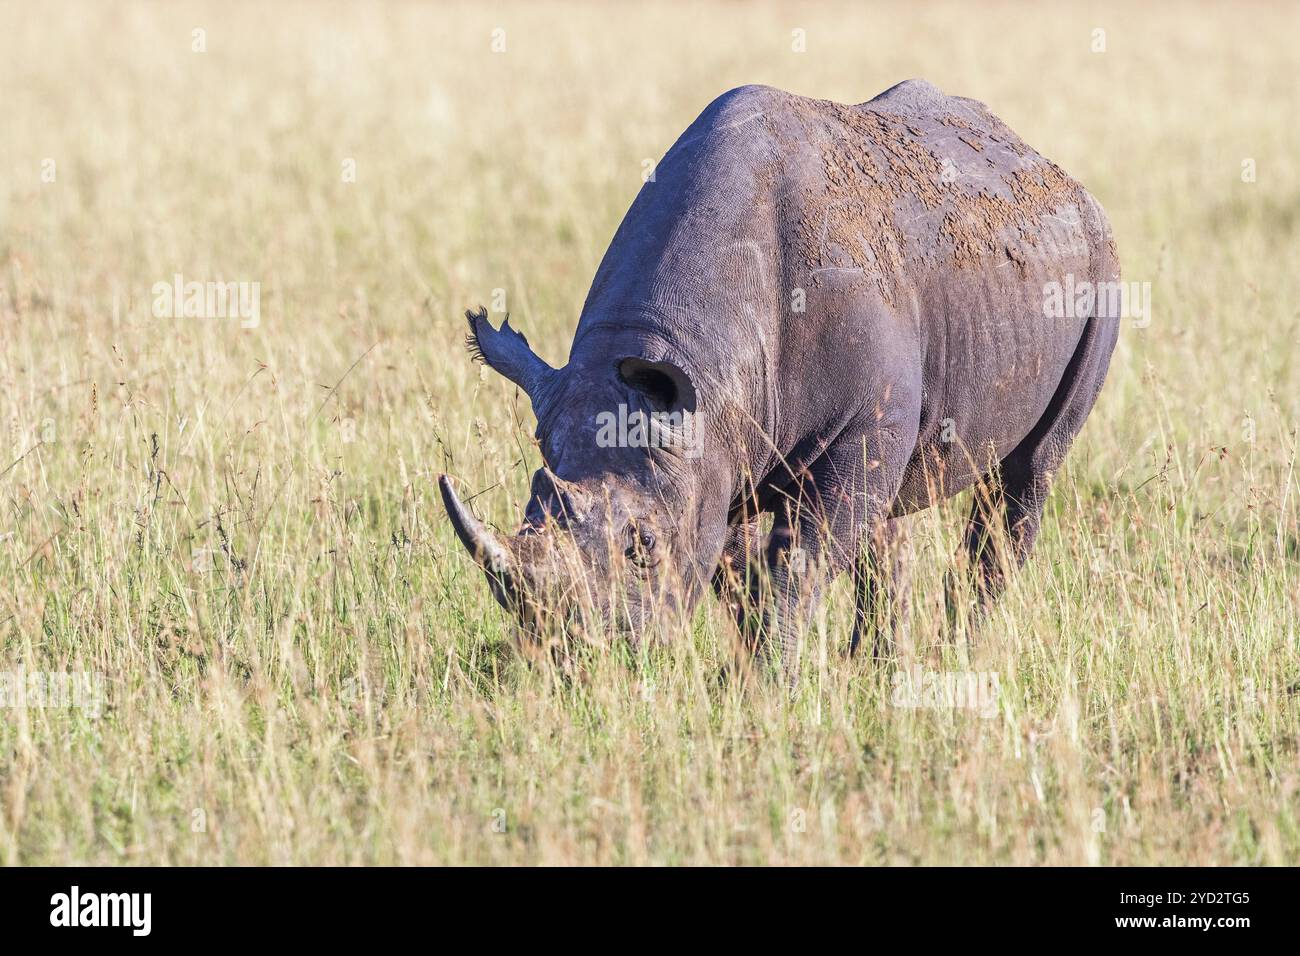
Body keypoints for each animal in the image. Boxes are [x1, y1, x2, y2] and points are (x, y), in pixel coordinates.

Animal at [440, 79, 1120, 675]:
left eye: (643, 547)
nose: (571, 659)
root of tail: (1052, 169)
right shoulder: (711, 443)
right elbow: (737, 569)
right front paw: (747, 676)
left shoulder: (819, 425)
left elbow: (799, 562)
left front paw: (770, 682)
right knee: (888, 512)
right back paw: (874, 669)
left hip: (1101, 265)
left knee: (1029, 473)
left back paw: (951, 658)